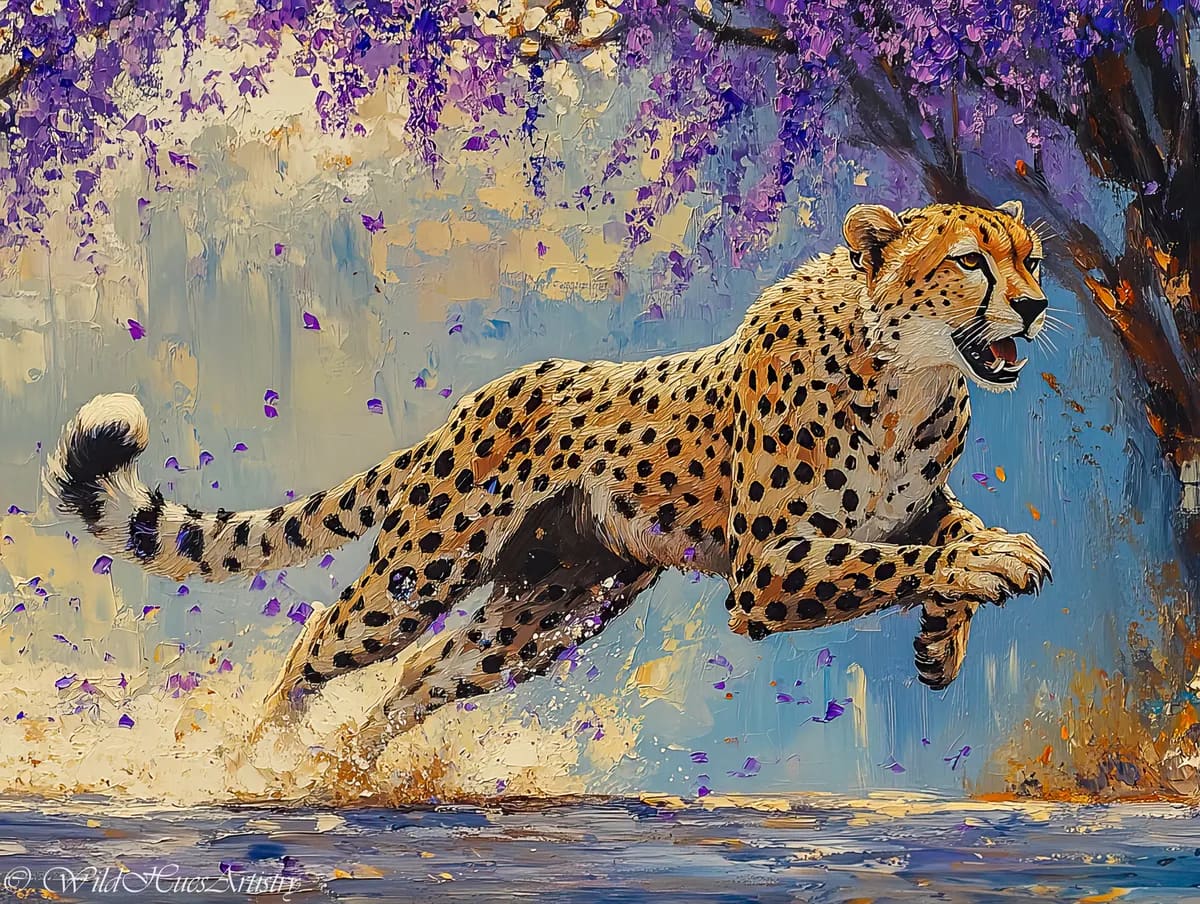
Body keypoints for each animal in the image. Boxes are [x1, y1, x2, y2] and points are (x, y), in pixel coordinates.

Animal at [45, 200, 1052, 763]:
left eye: (1031, 258)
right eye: (971, 260)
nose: (1039, 305)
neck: (911, 378)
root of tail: (481, 397)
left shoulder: (911, 510)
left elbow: (943, 535)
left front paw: (948, 634)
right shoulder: (764, 572)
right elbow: (888, 564)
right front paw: (991, 568)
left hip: (541, 614)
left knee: (423, 674)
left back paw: (347, 774)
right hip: (420, 572)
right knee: (323, 640)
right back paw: (256, 766)